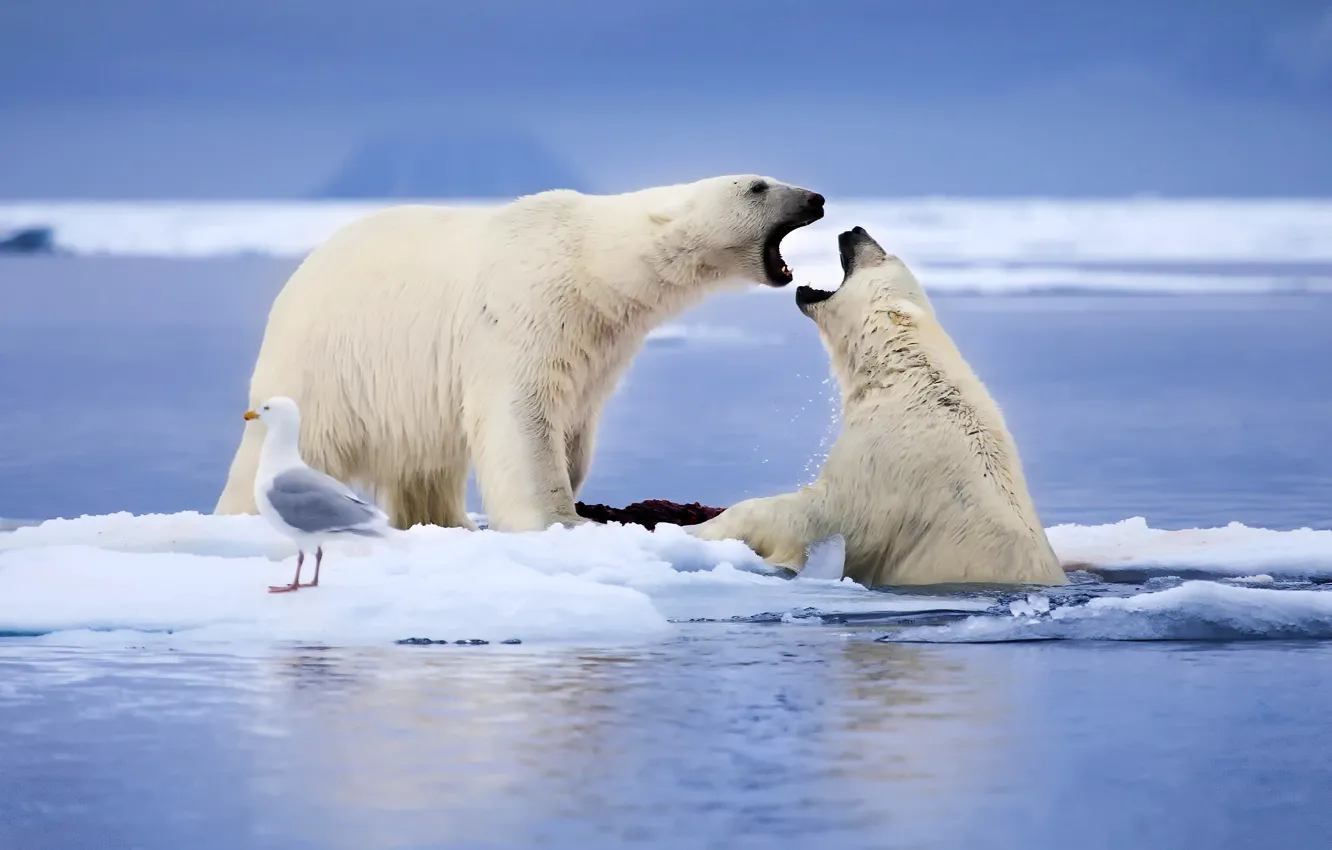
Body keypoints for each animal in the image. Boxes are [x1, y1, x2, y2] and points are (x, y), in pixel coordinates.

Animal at [213, 175, 826, 532]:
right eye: (757, 185)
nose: (817, 197)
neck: (591, 265)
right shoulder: (524, 312)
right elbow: (521, 418)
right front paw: (559, 520)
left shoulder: (597, 344)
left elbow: (576, 425)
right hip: (327, 366)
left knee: (427, 466)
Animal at [689, 226, 1067, 587]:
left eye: (883, 256)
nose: (856, 230)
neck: (906, 374)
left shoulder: (883, 462)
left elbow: (818, 513)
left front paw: (697, 529)